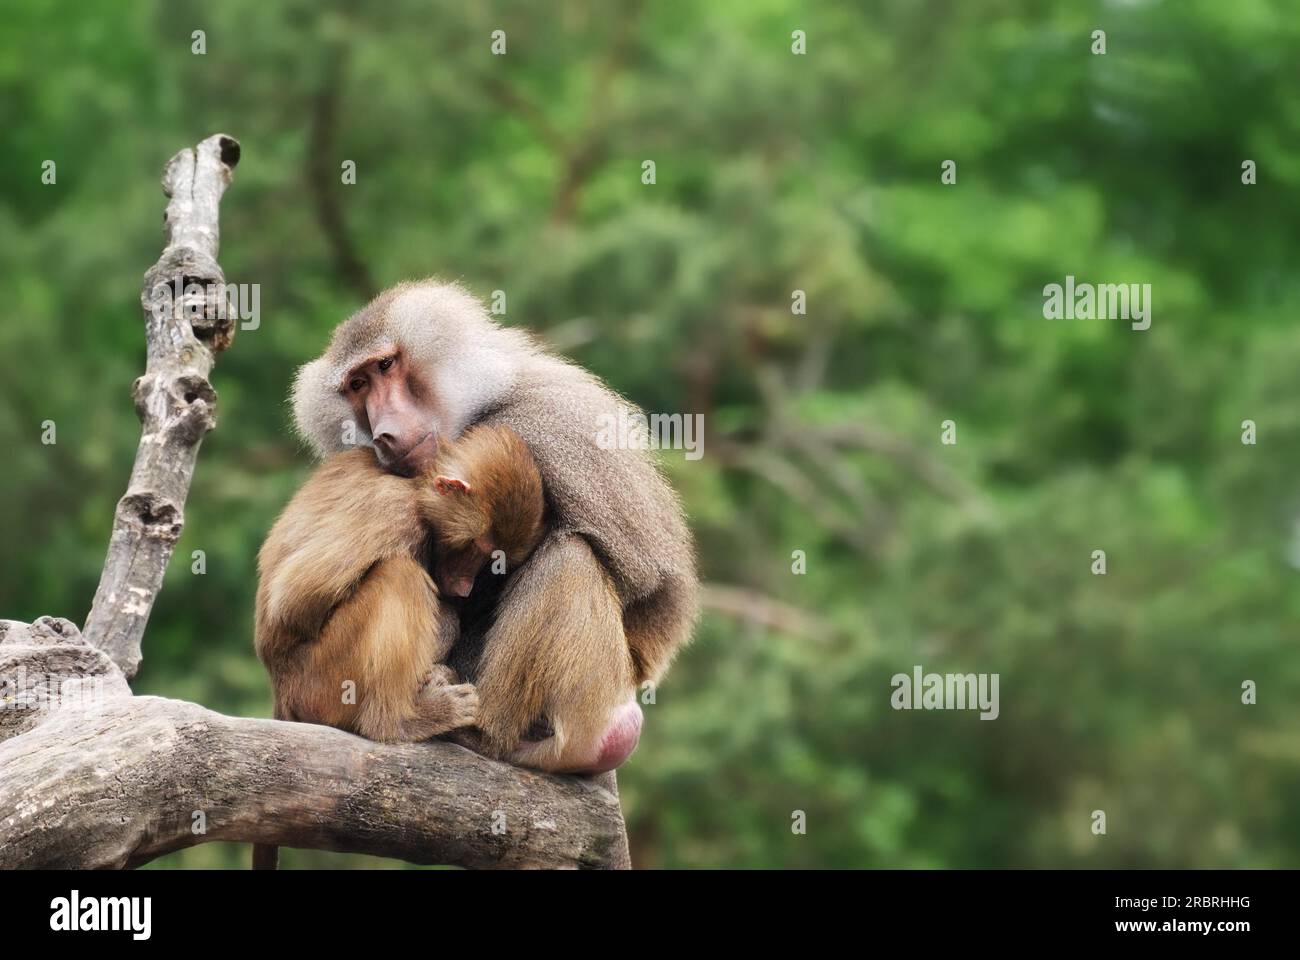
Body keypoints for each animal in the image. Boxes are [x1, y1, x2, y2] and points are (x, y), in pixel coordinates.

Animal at [287, 279, 699, 776]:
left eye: (386, 365)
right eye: (357, 385)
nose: (384, 433)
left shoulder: (550, 425)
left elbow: (651, 589)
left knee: (570, 560)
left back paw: (484, 732)